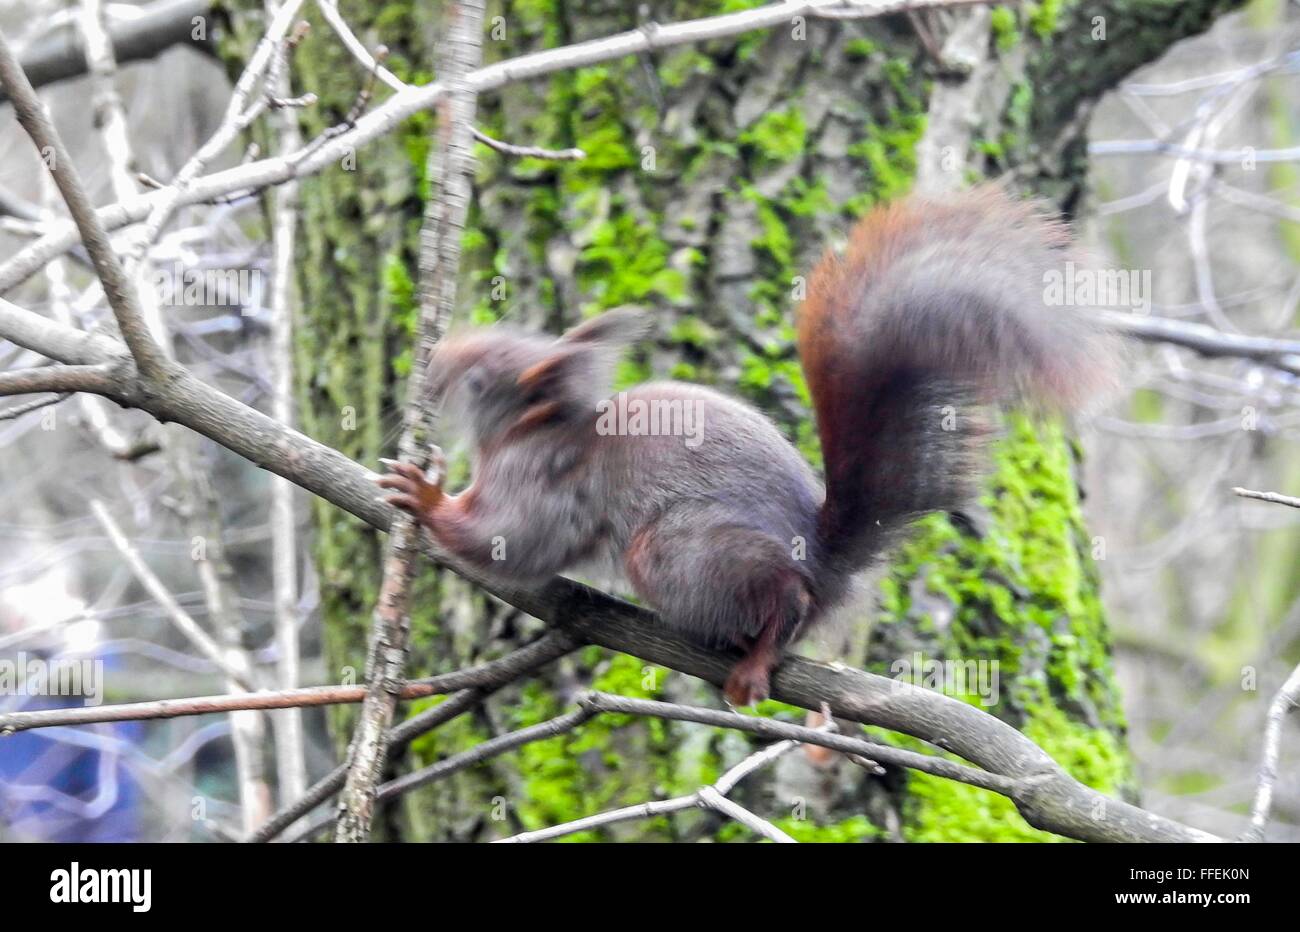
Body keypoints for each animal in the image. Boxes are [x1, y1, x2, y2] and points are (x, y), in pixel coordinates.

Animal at [377, 185, 1116, 707]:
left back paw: (758, 650)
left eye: (480, 376)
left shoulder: (545, 482)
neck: (539, 427)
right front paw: (433, 470)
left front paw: (425, 496)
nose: (433, 362)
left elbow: (511, 541)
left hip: (682, 551)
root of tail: (823, 564)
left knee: (782, 603)